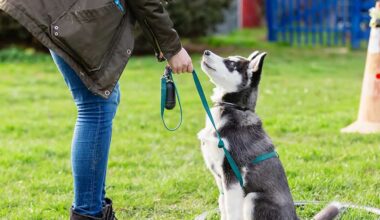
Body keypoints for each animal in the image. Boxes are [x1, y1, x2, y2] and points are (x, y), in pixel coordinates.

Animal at [197, 50, 298, 220]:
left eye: (231, 63)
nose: (206, 52)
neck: (233, 107)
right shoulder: (220, 179)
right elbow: (222, 205)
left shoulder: (232, 174)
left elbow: (231, 210)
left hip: (253, 198)